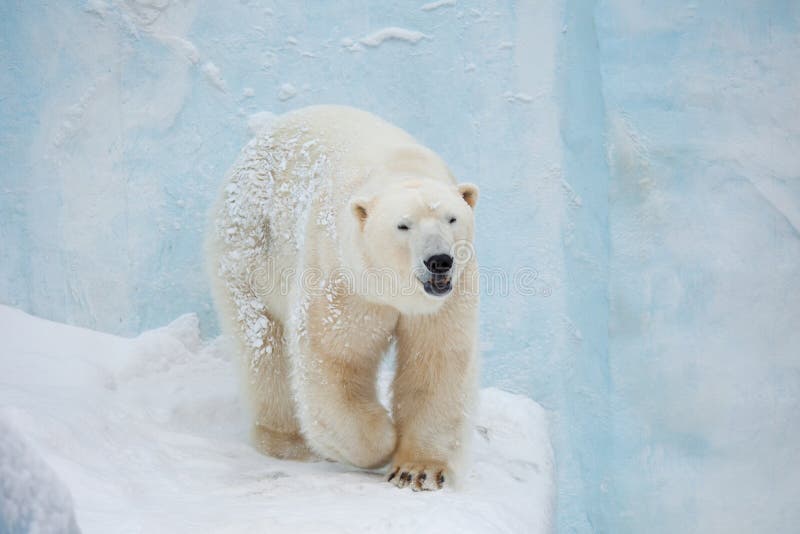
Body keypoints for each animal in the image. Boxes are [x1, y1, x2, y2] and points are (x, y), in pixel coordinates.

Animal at [206, 105, 479, 491]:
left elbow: (436, 361)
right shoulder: (341, 275)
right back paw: (287, 441)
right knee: (263, 346)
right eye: (403, 225)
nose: (439, 261)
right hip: (249, 250)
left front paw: (418, 470)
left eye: (452, 218)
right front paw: (382, 441)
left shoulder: (449, 296)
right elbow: (335, 358)